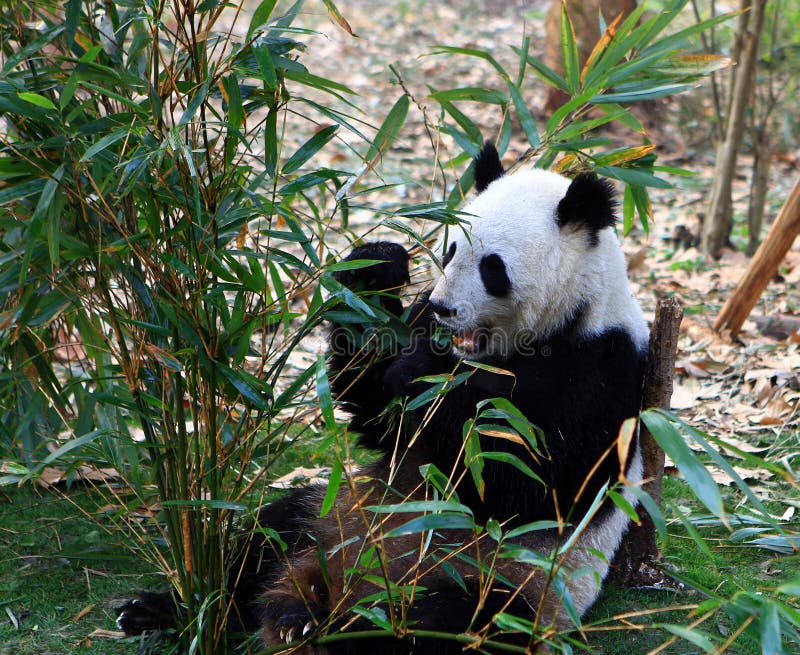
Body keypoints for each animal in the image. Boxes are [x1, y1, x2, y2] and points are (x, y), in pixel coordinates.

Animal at [117, 141, 649, 653]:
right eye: (449, 250)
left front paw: (426, 371)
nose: (444, 308)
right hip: (337, 511)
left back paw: (329, 627)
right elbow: (380, 418)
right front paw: (377, 265)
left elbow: (528, 478)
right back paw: (189, 611)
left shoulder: (600, 372)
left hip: (504, 579)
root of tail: (341, 581)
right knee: (269, 537)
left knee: (453, 623)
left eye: (493, 267)